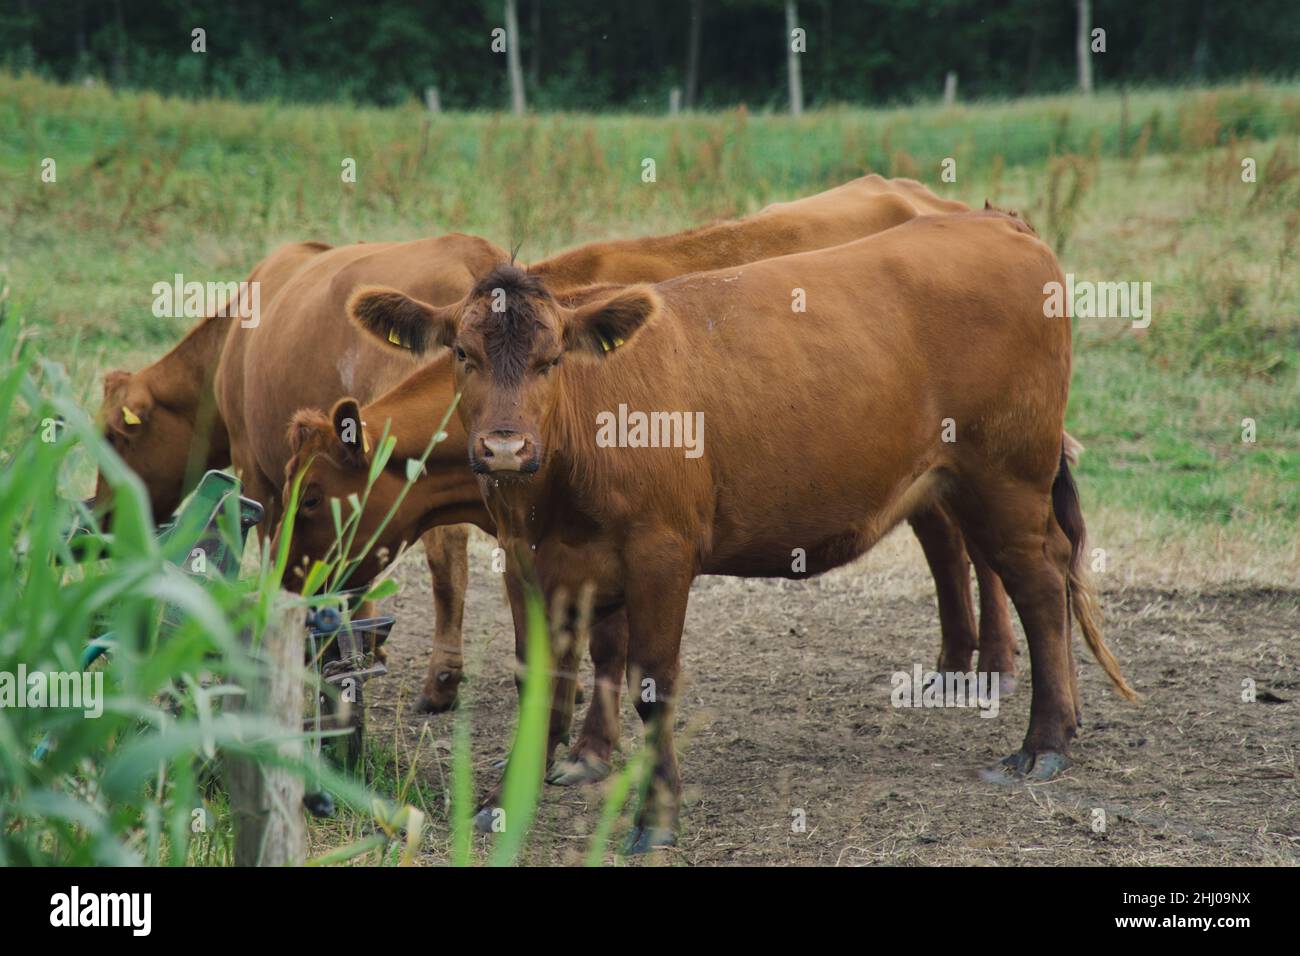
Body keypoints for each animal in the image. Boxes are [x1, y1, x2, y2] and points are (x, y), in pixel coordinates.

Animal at [347, 210, 1138, 852]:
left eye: (551, 360)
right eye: (463, 354)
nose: (505, 448)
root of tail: (996, 222)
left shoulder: (661, 553)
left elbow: (652, 684)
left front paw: (655, 818)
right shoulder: (527, 565)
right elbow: (541, 679)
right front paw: (507, 798)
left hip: (1006, 475)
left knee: (1038, 584)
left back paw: (1044, 741)